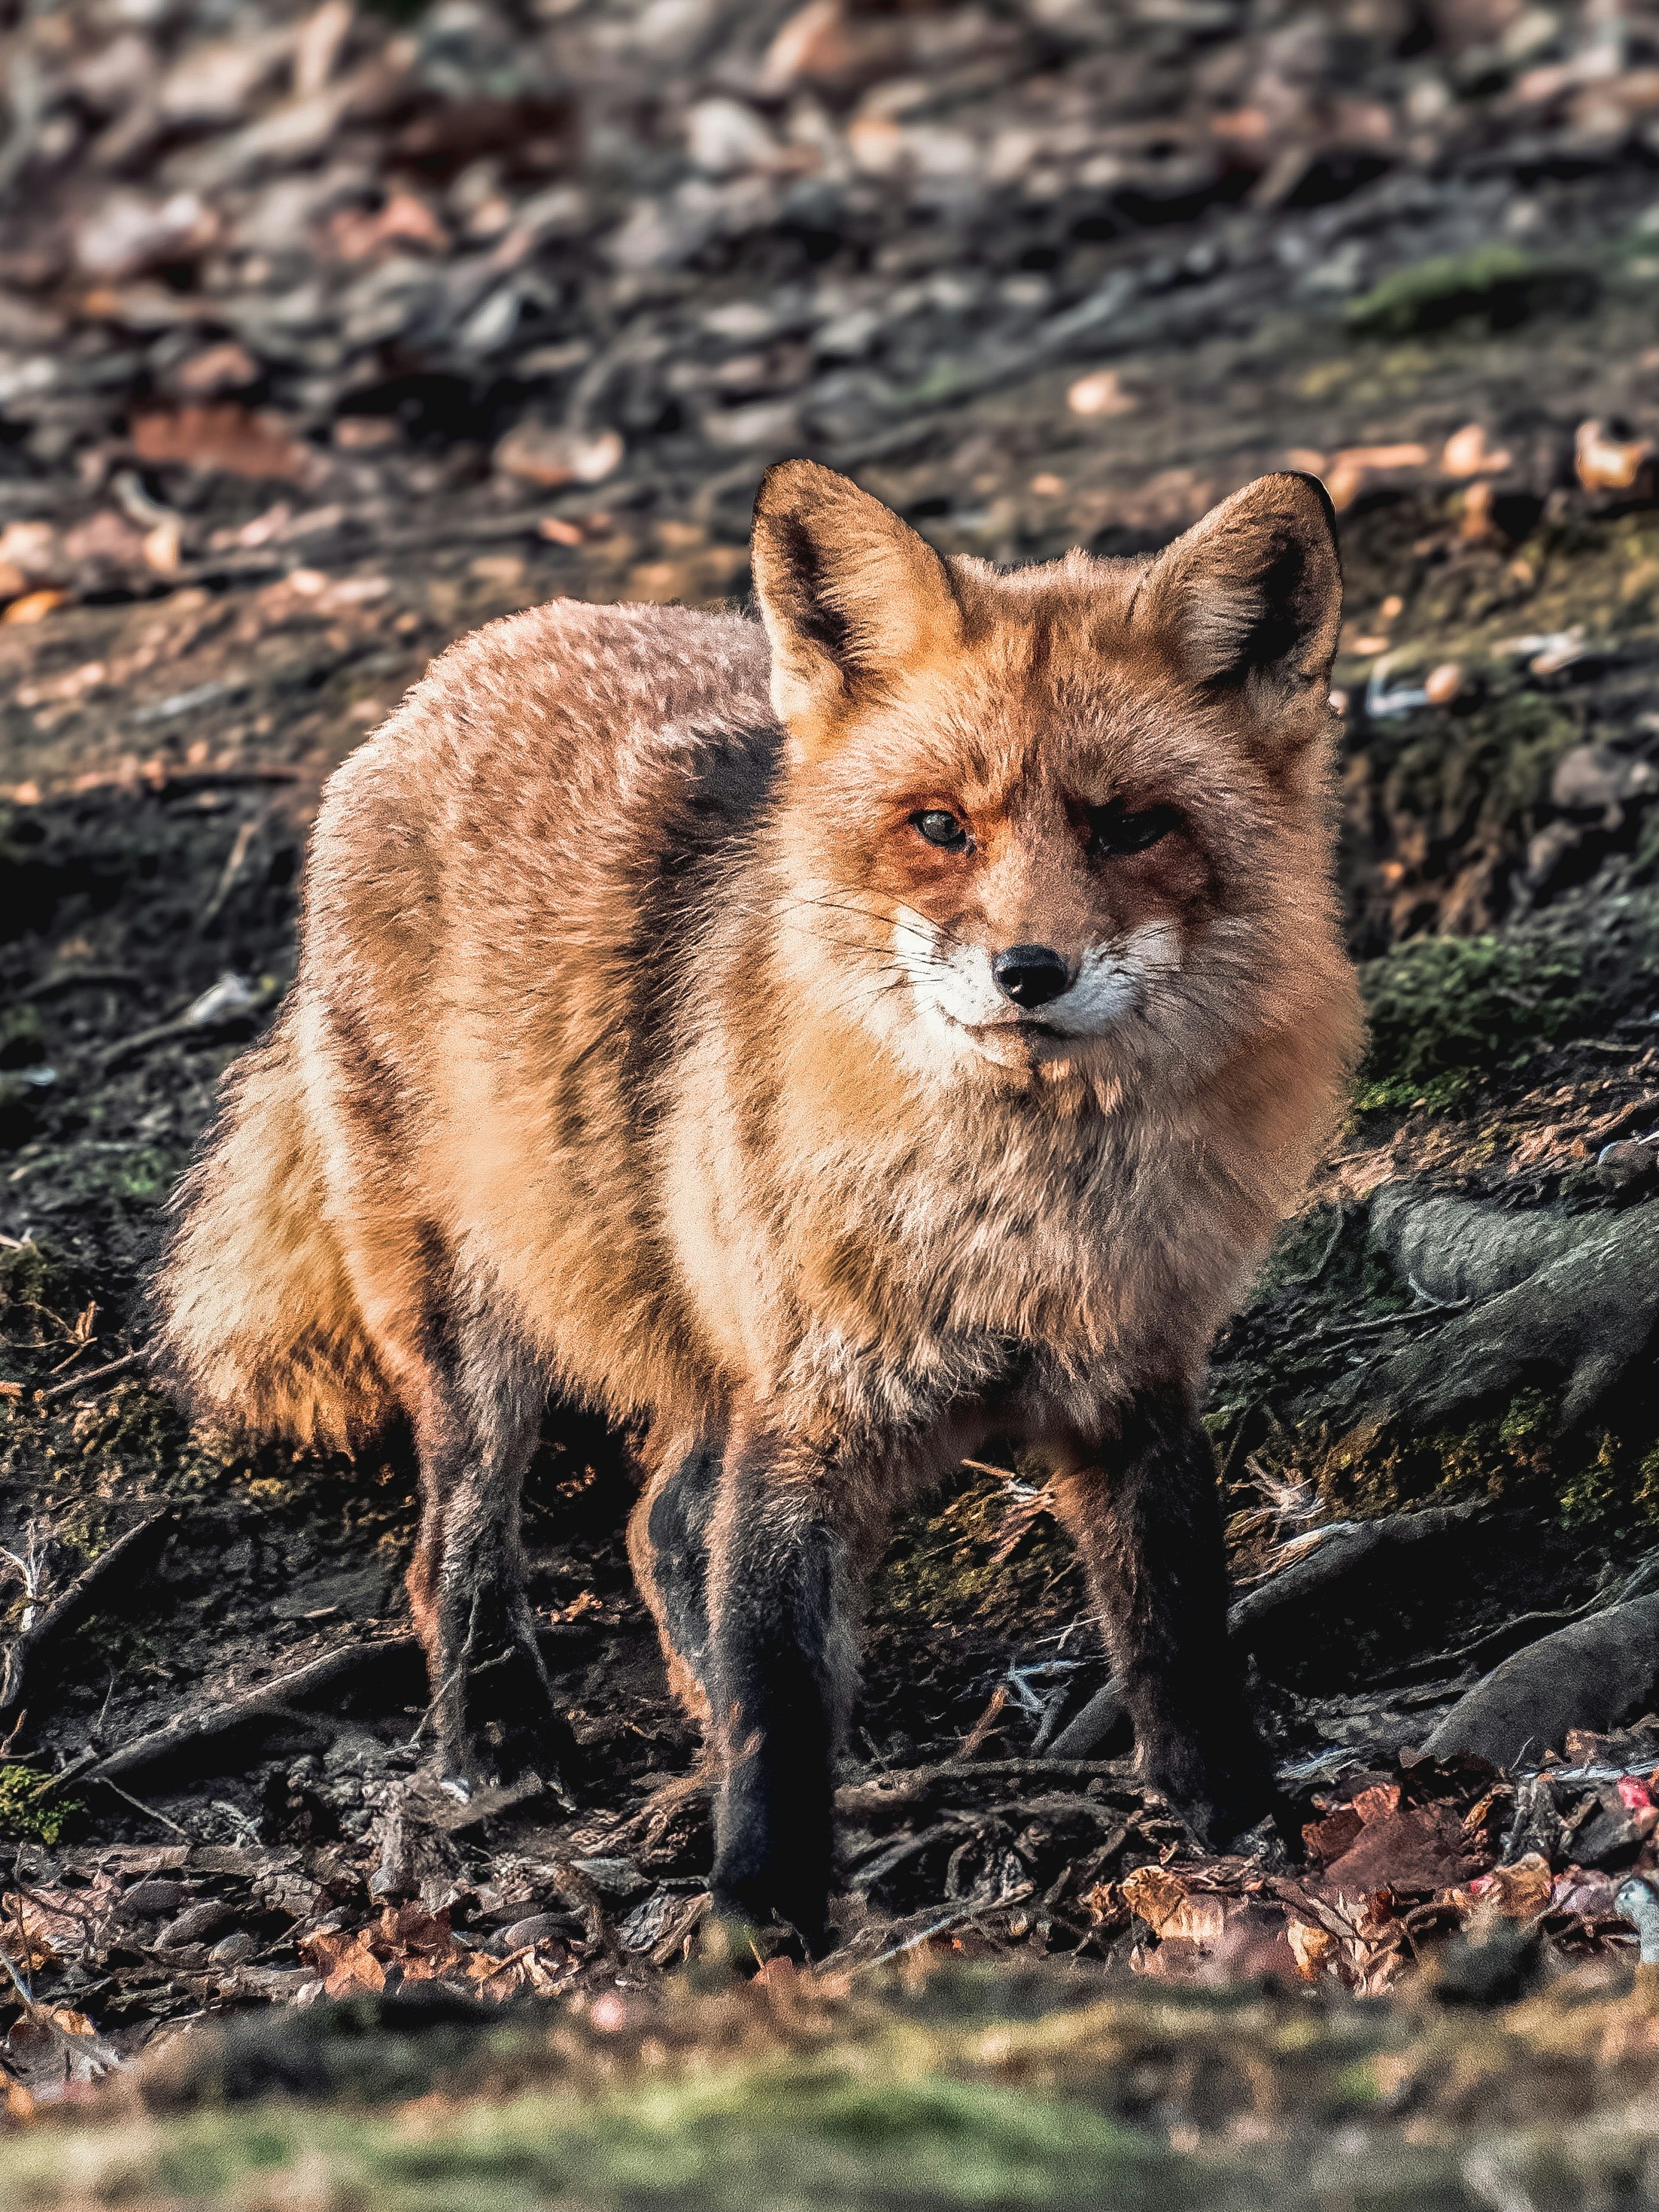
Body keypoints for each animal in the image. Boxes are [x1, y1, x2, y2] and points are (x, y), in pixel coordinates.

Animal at [154, 460, 1359, 1952]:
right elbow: (779, 1695)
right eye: (940, 827)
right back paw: (499, 1740)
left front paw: (1242, 1832)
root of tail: (468, 658)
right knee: (457, 1549)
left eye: (1133, 826)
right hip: (476, 1327)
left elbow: (1179, 1639)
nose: (1030, 971)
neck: (1017, 1224)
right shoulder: (804, 1417)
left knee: (658, 1524)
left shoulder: (1134, 1390)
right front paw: (755, 1915)